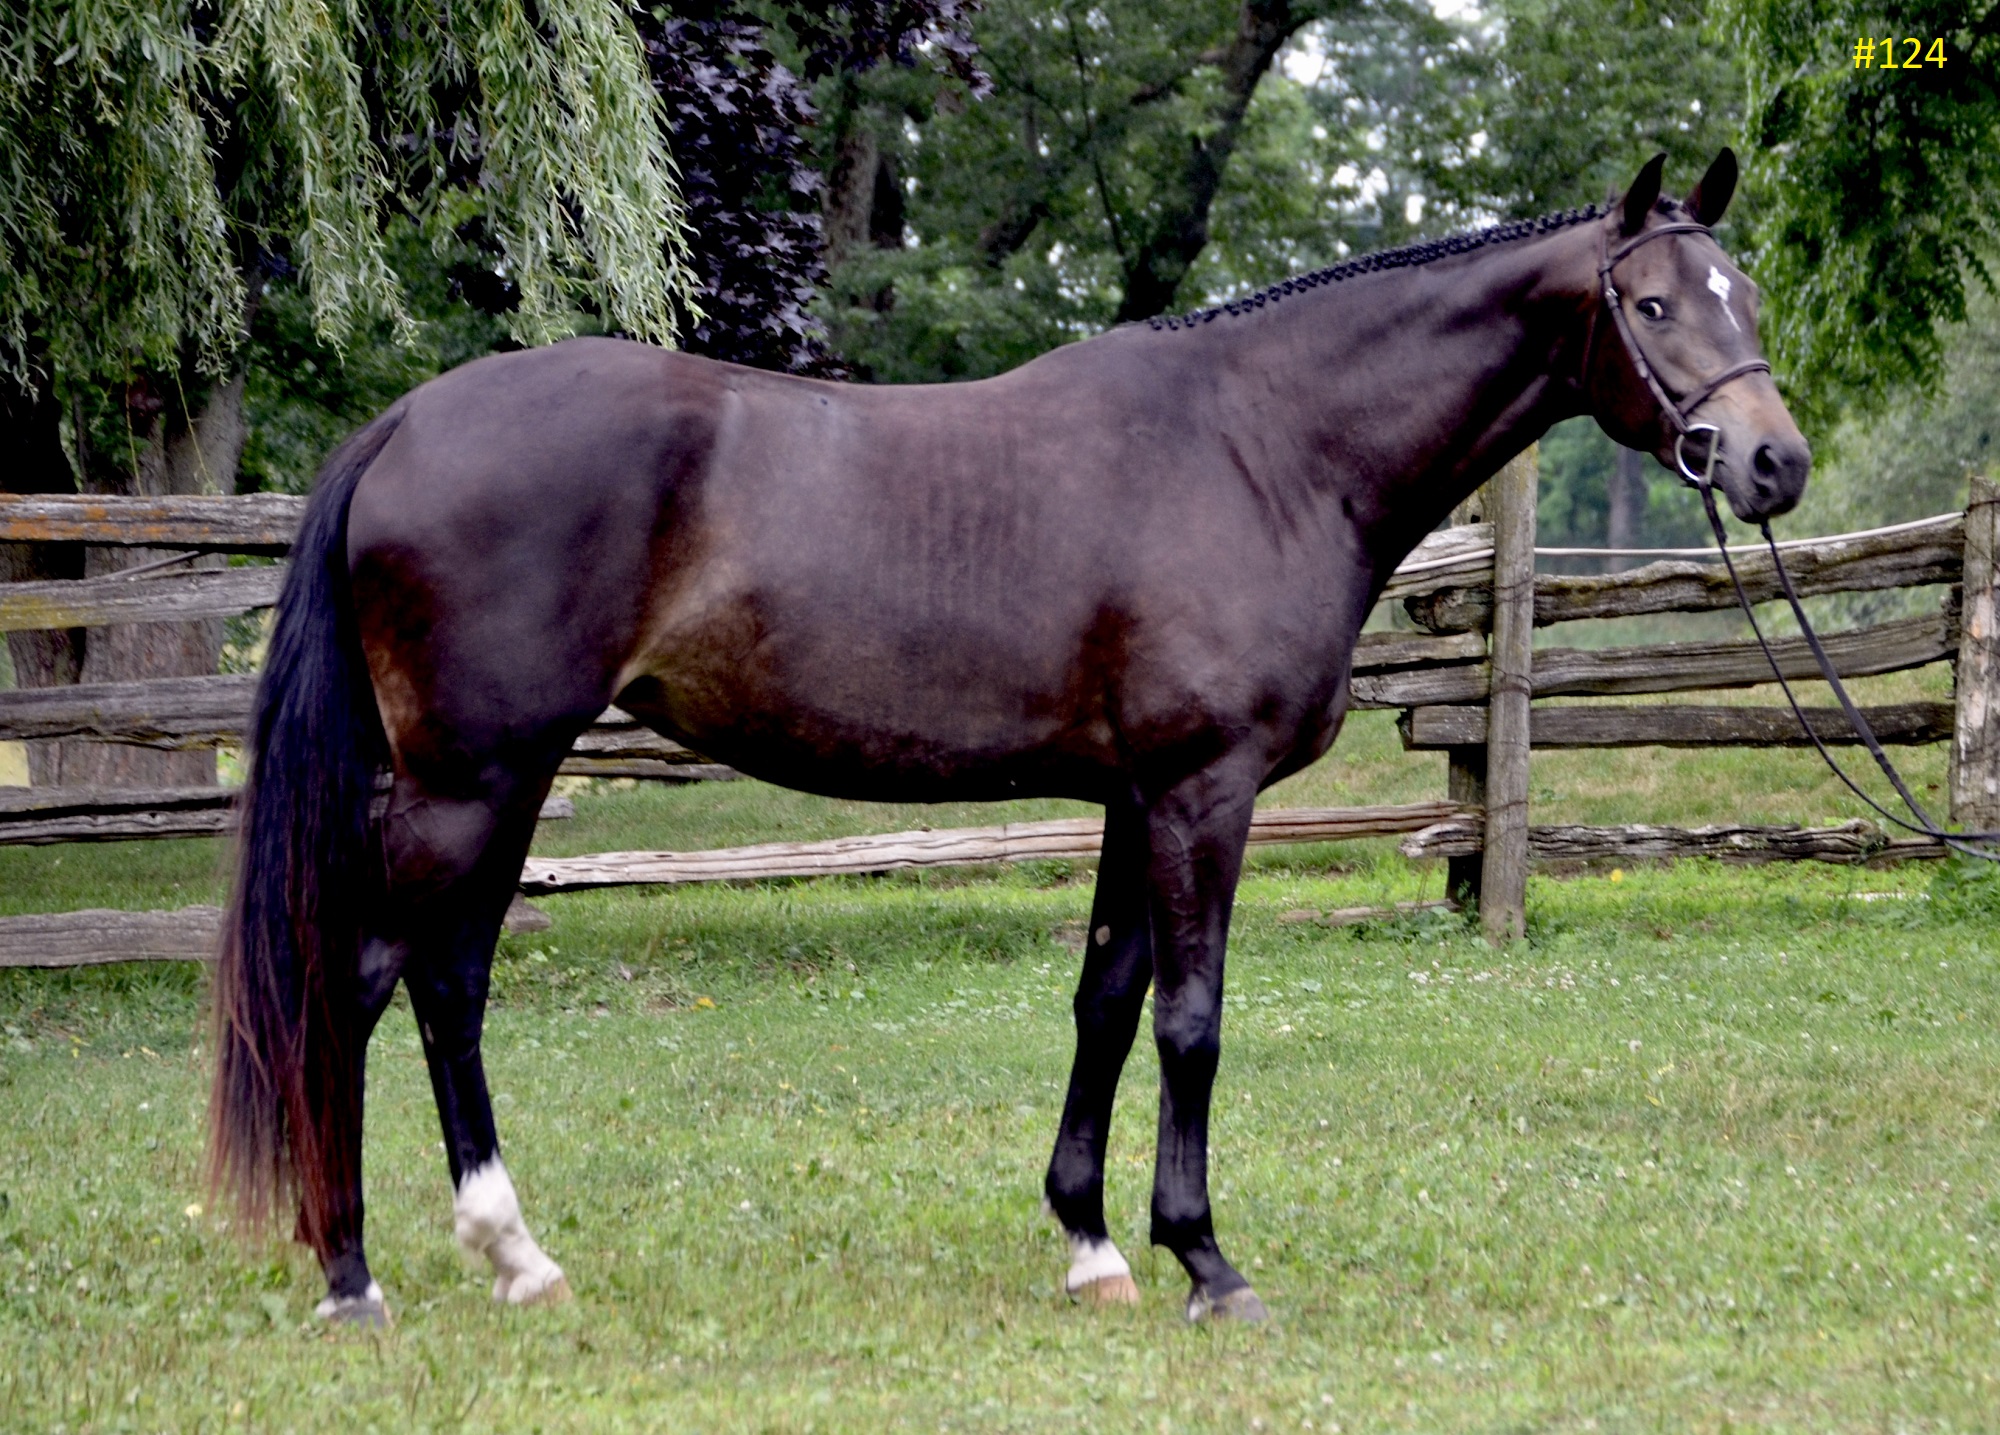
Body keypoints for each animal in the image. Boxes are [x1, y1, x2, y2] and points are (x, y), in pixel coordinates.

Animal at [208, 149, 1809, 1325]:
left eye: (1744, 295)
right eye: (1652, 306)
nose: (1771, 461)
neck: (1264, 448)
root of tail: (407, 422)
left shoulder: (1130, 794)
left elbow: (1105, 1000)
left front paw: (1094, 1245)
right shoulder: (1202, 792)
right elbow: (1191, 1016)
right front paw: (1206, 1261)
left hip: (493, 779)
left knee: (445, 983)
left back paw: (505, 1256)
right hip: (470, 779)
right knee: (369, 980)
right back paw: (356, 1275)